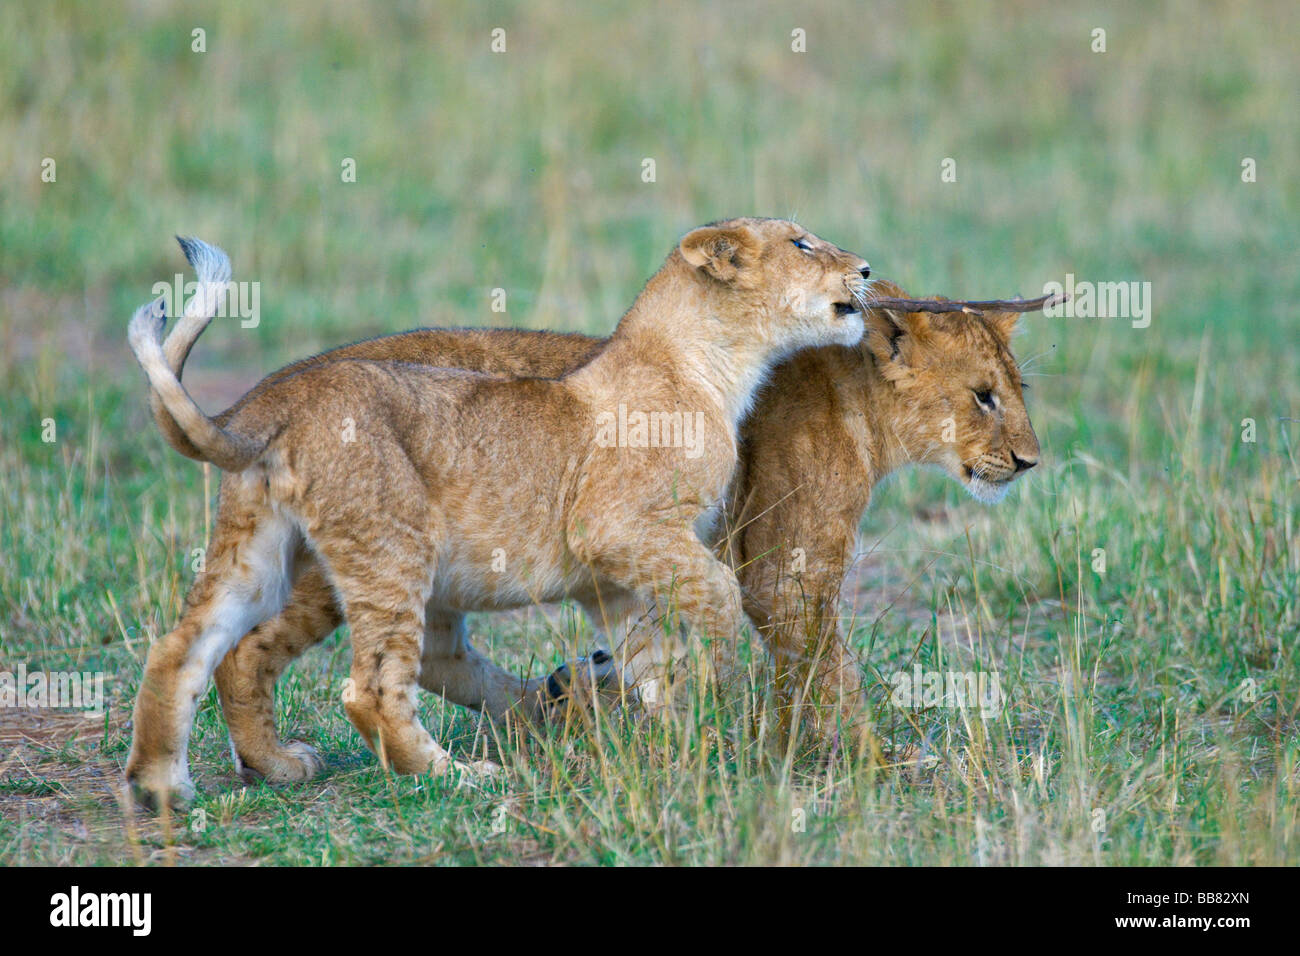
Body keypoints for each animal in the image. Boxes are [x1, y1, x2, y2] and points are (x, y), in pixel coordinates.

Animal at [146, 261, 1040, 787]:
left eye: (1017, 388)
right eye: (983, 396)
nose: (1030, 461)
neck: (855, 394)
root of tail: (276, 391)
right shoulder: (782, 575)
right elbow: (829, 671)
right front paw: (870, 759)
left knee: (307, 651)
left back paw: (563, 706)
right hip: (374, 554)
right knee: (309, 659)